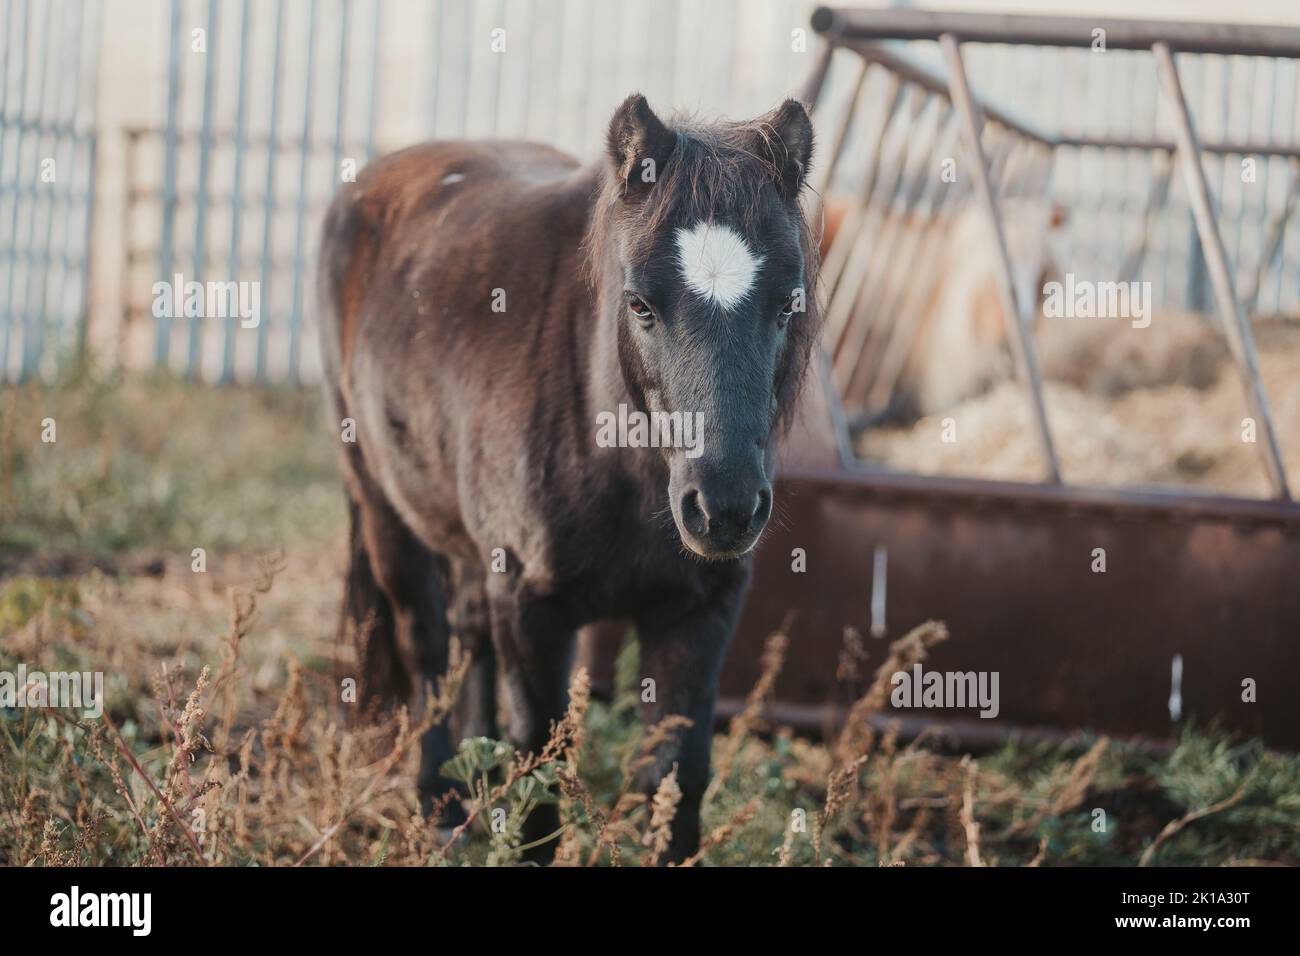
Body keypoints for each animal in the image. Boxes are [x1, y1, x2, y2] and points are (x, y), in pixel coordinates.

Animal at [316, 93, 821, 863]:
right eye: (640, 303)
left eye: (788, 301)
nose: (726, 509)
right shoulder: (533, 611)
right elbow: (541, 777)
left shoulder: (696, 612)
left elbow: (677, 774)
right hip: (382, 508)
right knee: (423, 642)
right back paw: (439, 800)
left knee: (468, 634)